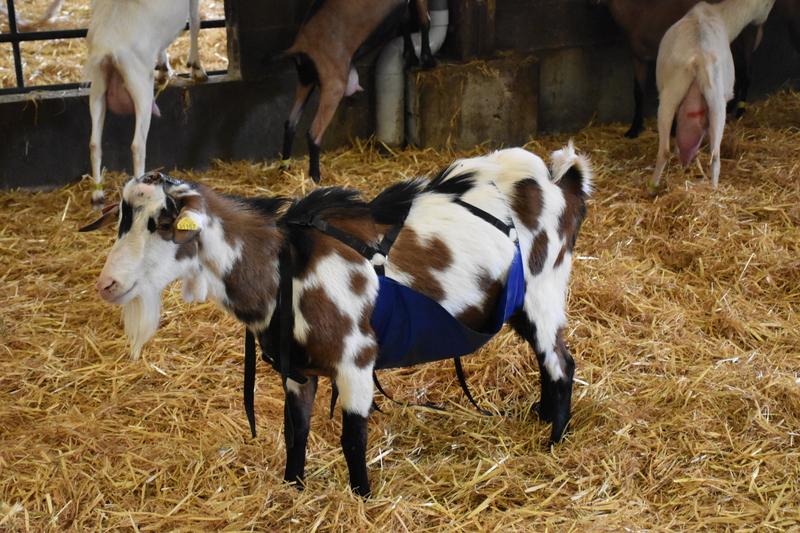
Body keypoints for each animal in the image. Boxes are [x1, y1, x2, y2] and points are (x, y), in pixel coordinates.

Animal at [80, 144, 592, 497]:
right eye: (123, 219)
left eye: (161, 224)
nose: (107, 284)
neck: (285, 266)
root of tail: (561, 182)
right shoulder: (296, 370)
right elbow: (295, 433)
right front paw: (293, 489)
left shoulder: (355, 361)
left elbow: (353, 439)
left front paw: (362, 498)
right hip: (520, 307)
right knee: (546, 362)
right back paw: (540, 415)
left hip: (544, 292)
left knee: (561, 364)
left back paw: (554, 441)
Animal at [85, 0, 208, 207]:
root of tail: (109, 50)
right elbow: (195, 22)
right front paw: (196, 68)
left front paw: (164, 69)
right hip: (140, 87)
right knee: (138, 145)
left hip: (97, 89)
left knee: (94, 143)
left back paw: (97, 194)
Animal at [278, 0, 435, 183]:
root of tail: (300, 50)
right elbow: (424, 20)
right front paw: (427, 60)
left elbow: (405, 22)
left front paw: (411, 57)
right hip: (333, 84)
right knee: (314, 132)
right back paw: (315, 177)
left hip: (305, 82)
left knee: (290, 123)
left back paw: (285, 169)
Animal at [590, 0, 762, 138]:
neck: (641, 13)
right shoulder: (639, 58)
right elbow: (638, 92)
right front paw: (634, 129)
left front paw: (673, 130)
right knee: (740, 74)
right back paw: (731, 108)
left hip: (742, 40)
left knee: (745, 74)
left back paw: (739, 112)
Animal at [651, 0, 775, 190]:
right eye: (768, 5)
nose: (764, 21)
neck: (720, 14)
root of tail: (698, 58)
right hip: (714, 98)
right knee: (713, 154)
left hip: (681, 95)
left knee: (672, 151)